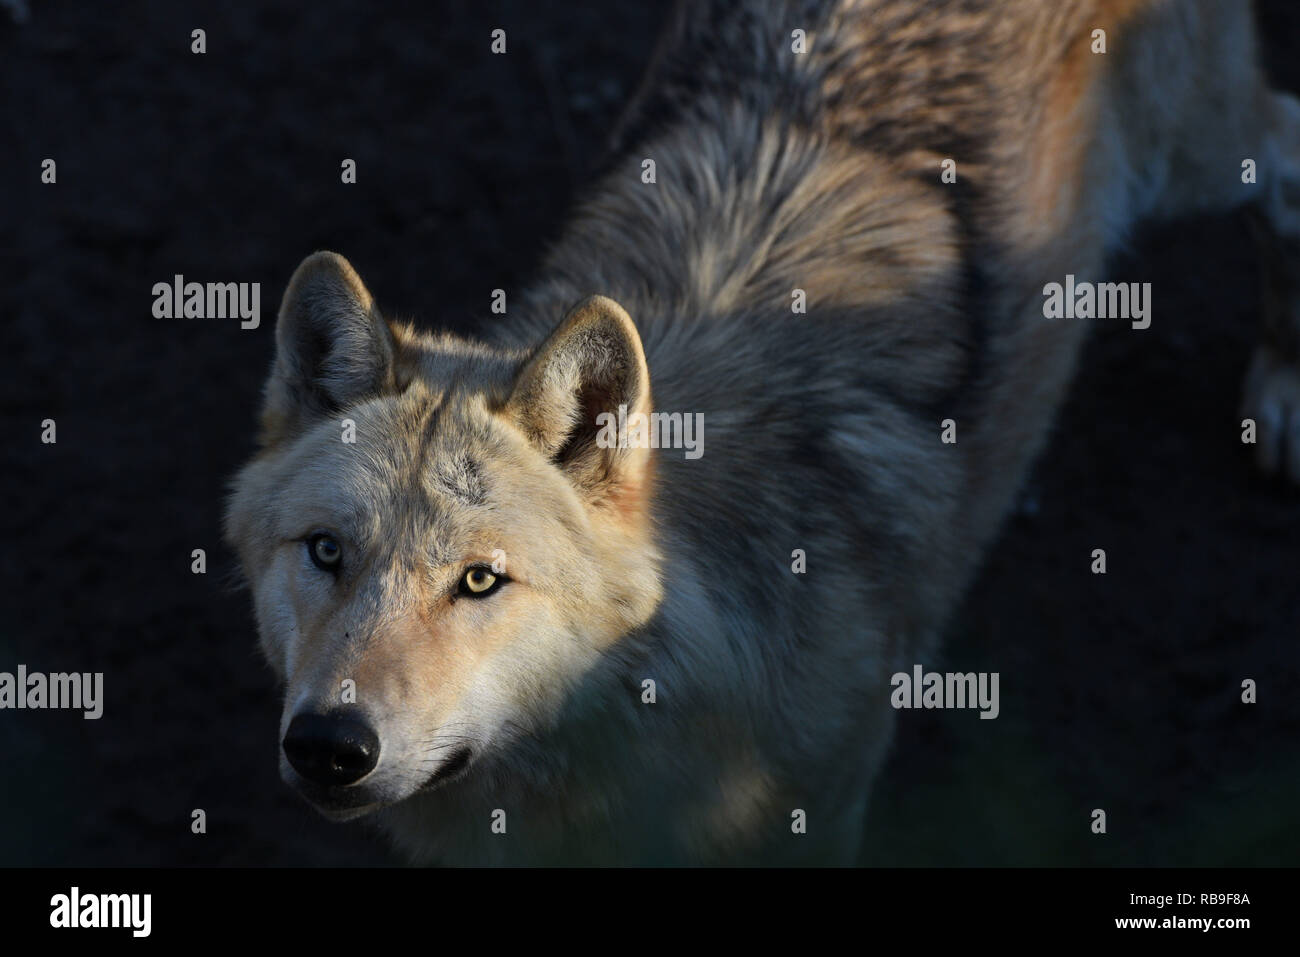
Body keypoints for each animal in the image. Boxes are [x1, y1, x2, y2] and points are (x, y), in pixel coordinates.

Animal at [225, 0, 1300, 865]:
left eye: (480, 580)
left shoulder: (818, 816)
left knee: (1283, 152)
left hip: (1196, 156)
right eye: (326, 552)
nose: (330, 744)